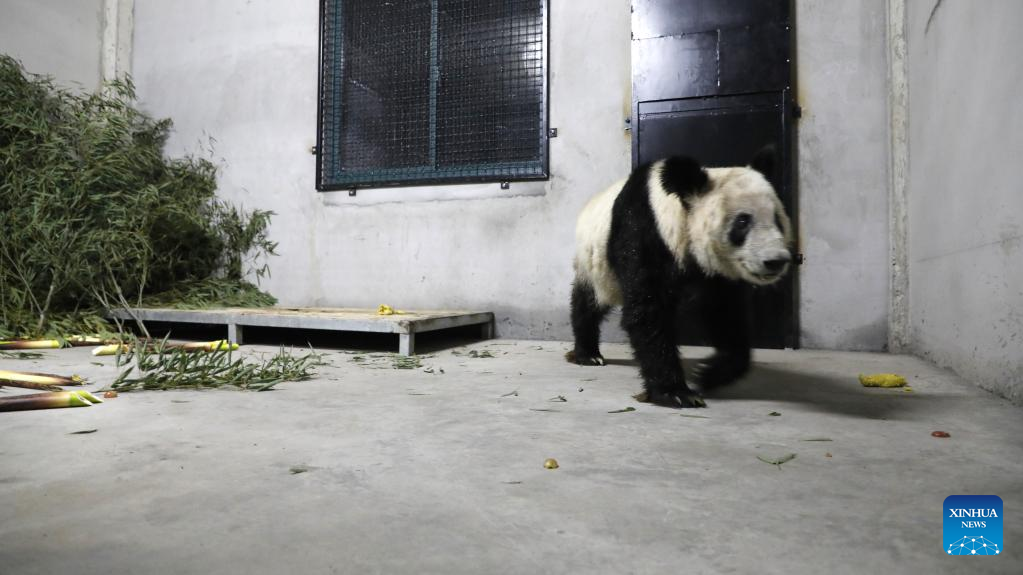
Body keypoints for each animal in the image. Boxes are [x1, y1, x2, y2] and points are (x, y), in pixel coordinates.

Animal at [568, 148, 793, 408]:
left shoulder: (715, 271)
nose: (776, 261)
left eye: (777, 219)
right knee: (588, 302)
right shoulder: (643, 233)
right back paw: (588, 354)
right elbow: (647, 311)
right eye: (743, 221)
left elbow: (724, 312)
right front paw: (675, 392)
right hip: (595, 263)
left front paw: (708, 373)